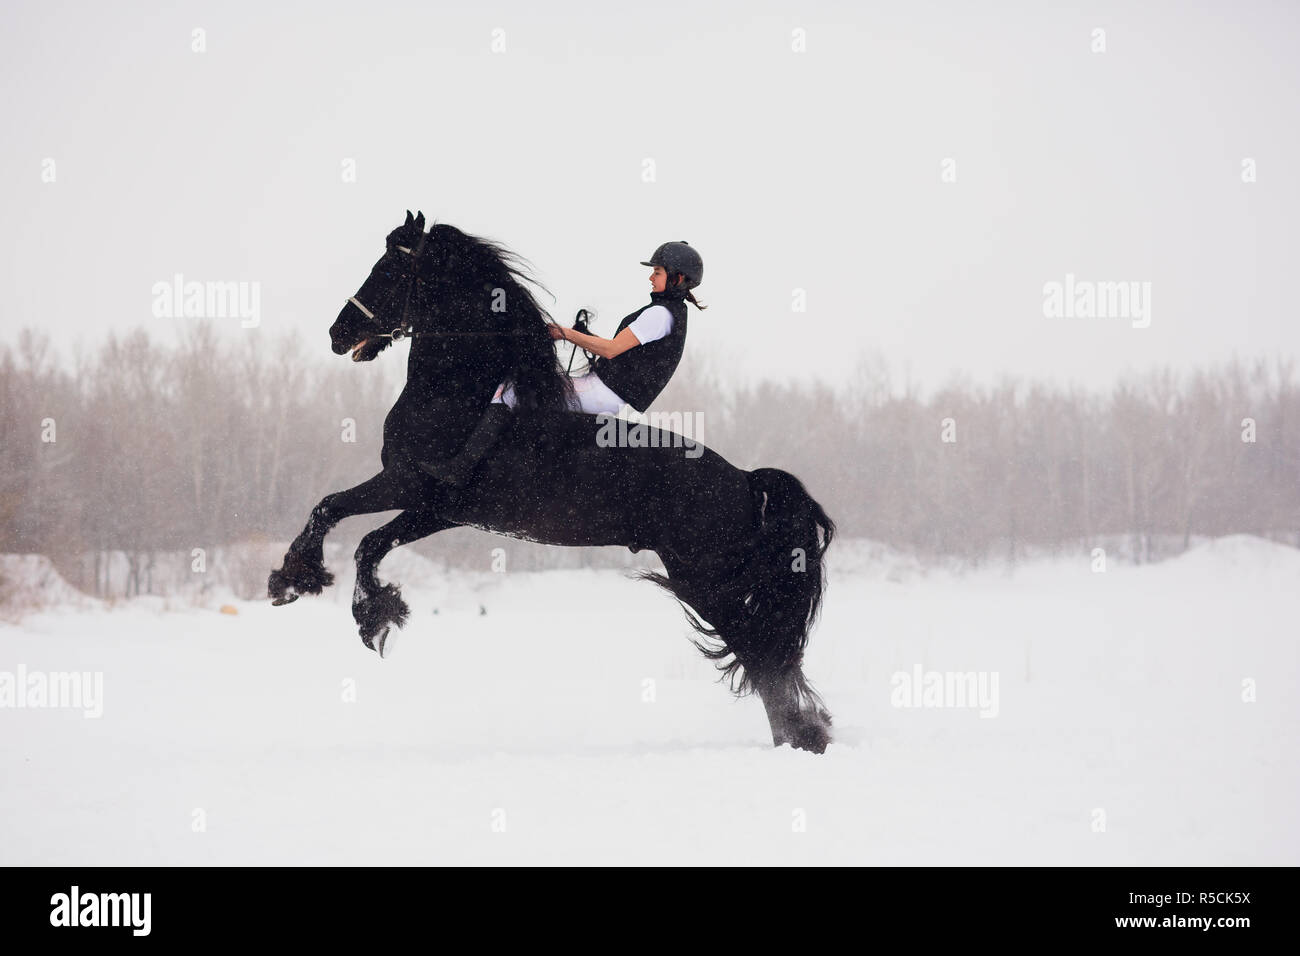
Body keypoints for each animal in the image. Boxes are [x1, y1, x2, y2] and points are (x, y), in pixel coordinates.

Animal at [268, 211, 836, 753]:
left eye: (389, 269)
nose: (337, 335)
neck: (456, 393)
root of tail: (745, 481)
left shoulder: (405, 483)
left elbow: (332, 509)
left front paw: (316, 592)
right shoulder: (437, 510)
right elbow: (366, 540)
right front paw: (359, 607)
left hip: (706, 580)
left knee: (764, 655)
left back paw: (803, 740)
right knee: (767, 657)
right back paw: (800, 737)